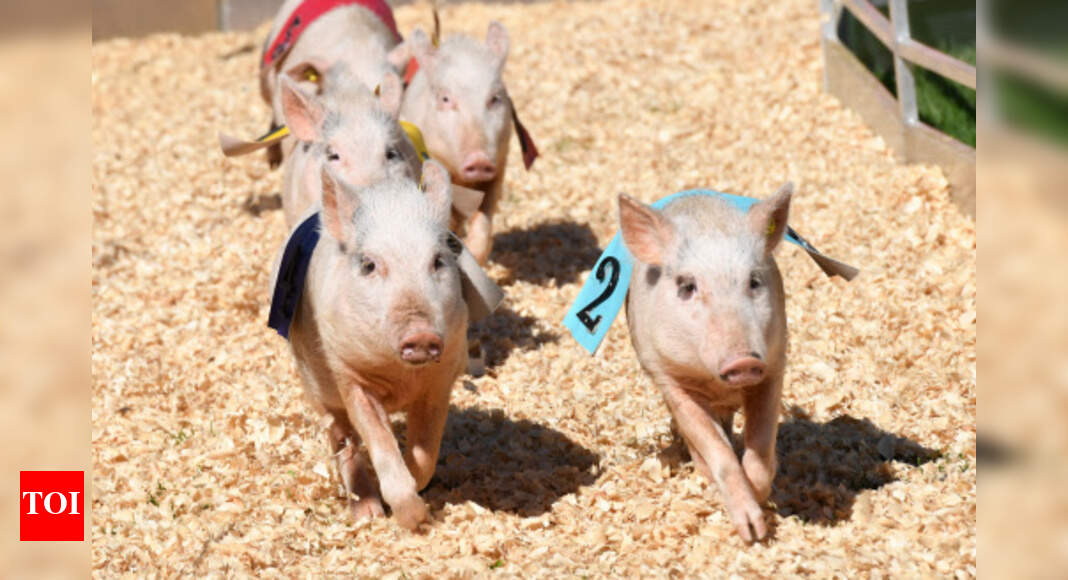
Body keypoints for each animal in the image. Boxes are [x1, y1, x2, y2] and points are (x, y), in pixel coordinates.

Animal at [280, 162, 469, 529]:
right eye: (369, 264)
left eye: (438, 261)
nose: (420, 335)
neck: (401, 377)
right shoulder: (349, 373)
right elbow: (376, 437)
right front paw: (411, 519)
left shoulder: (441, 379)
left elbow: (425, 453)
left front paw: (421, 505)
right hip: (316, 385)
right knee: (342, 438)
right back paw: (366, 513)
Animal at [398, 22, 516, 265]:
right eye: (445, 99)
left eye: (494, 99)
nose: (479, 159)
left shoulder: (499, 165)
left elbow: (485, 213)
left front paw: (475, 254)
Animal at [618, 184, 793, 542]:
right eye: (687, 286)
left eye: (754, 281)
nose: (743, 360)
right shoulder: (669, 378)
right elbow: (718, 451)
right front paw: (752, 532)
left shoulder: (773, 365)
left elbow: (760, 444)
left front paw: (761, 494)